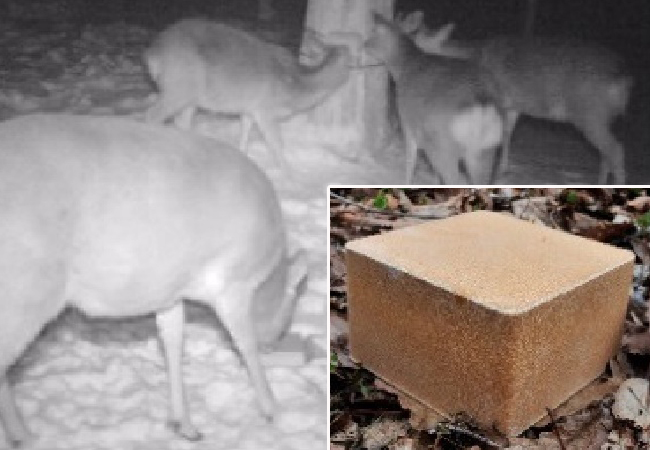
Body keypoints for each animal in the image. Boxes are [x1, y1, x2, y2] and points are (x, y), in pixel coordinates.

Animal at [0, 113, 307, 447]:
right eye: (288, 319)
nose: (275, 342)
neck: (266, 275)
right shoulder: (231, 283)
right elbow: (244, 344)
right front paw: (273, 409)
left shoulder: (170, 289)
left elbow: (173, 341)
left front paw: (184, 423)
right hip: (25, 291)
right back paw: (23, 435)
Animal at [144, 18, 354, 173]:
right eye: (350, 54)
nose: (358, 65)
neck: (294, 84)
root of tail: (153, 54)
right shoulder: (265, 110)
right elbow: (276, 144)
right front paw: (291, 177)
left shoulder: (249, 109)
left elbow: (244, 134)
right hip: (178, 89)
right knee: (149, 117)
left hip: (189, 97)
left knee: (180, 123)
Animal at [364, 13, 504, 184]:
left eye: (373, 33)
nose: (363, 44)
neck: (404, 69)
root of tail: (481, 102)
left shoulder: (407, 120)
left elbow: (411, 160)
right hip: (486, 150)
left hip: (442, 146)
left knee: (453, 179)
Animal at [396, 10, 633, 184]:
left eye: (411, 35)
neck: (474, 54)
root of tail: (624, 79)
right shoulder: (512, 104)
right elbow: (509, 132)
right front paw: (503, 169)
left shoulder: (499, 96)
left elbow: (502, 134)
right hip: (604, 116)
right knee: (606, 153)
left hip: (590, 111)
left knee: (616, 150)